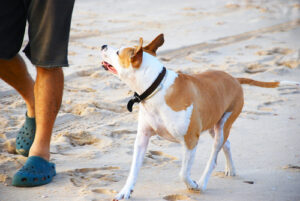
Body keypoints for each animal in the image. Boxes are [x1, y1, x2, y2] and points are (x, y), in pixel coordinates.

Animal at [100, 33, 298, 199]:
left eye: (118, 52)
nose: (102, 45)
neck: (156, 87)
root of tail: (235, 79)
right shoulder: (142, 138)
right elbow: (133, 170)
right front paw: (125, 191)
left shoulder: (190, 140)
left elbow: (183, 173)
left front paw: (192, 184)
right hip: (214, 126)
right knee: (227, 144)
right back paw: (231, 169)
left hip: (223, 126)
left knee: (213, 158)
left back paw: (202, 183)